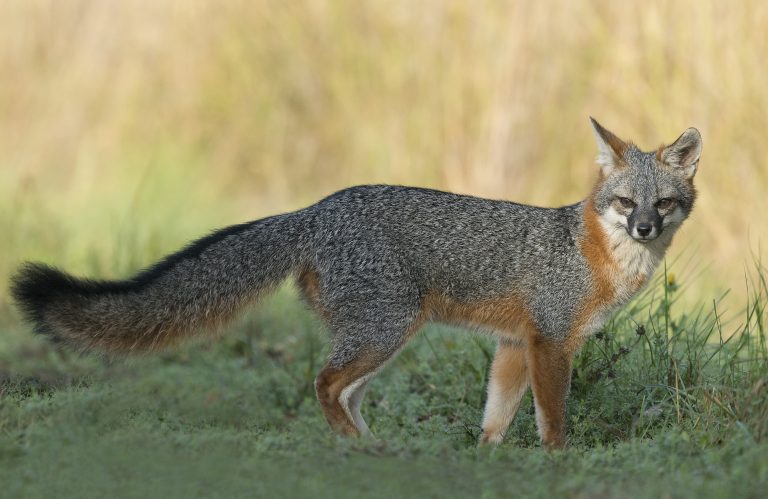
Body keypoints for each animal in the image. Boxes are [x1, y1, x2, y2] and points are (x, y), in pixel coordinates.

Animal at [9, 118, 702, 449]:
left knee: (343, 394)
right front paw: (558, 463)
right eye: (625, 202)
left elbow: (495, 419)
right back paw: (357, 447)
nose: (643, 228)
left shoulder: (513, 344)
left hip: (378, 339)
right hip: (384, 331)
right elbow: (551, 420)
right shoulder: (551, 342)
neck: (595, 254)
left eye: (663, 203)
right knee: (323, 385)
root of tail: (315, 209)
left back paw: (371, 449)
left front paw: (486, 459)